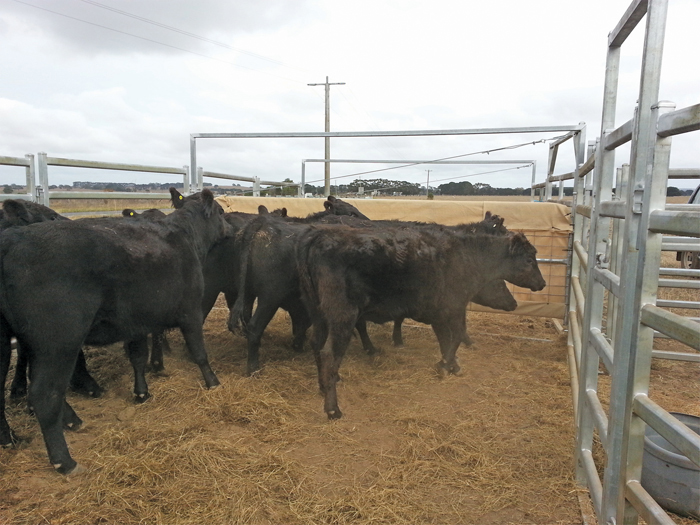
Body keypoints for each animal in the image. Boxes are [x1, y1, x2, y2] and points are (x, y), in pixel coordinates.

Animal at [0, 189, 229, 474]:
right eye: (220, 212)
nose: (230, 227)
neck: (185, 236)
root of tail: (12, 240)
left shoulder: (137, 321)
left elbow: (138, 357)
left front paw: (141, 393)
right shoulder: (190, 310)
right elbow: (199, 351)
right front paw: (212, 382)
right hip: (58, 343)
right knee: (45, 394)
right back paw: (64, 460)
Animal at [295, 225, 546, 419]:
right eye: (529, 259)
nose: (542, 283)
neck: (467, 256)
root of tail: (321, 237)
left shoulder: (439, 312)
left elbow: (445, 339)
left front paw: (451, 365)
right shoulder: (454, 307)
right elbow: (456, 335)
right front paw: (445, 366)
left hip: (319, 314)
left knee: (316, 344)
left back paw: (323, 385)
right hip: (342, 316)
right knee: (330, 353)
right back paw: (333, 409)